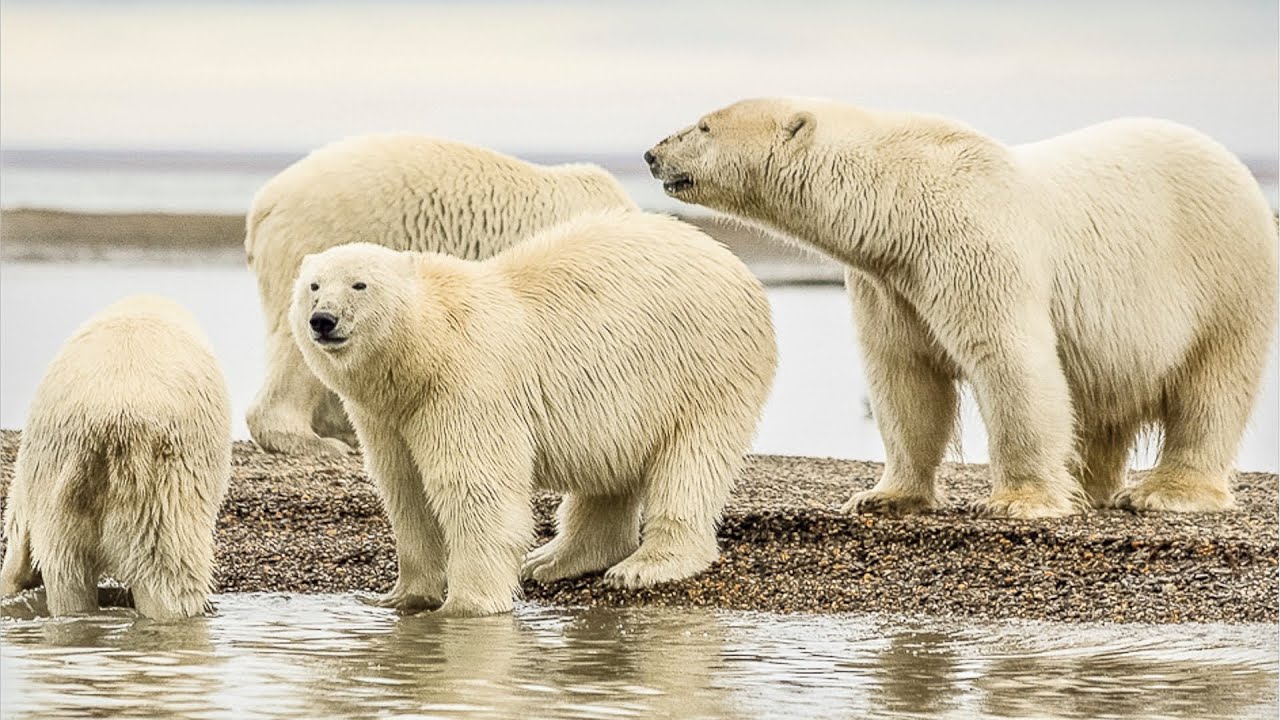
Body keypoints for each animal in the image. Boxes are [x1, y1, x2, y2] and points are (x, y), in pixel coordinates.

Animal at [289, 210, 777, 616]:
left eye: (359, 284)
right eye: (314, 286)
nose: (323, 320)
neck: (426, 349)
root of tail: (731, 260)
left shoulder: (466, 387)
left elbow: (476, 489)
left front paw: (467, 605)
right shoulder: (387, 415)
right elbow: (404, 490)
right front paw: (403, 596)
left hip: (702, 368)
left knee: (690, 462)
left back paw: (644, 566)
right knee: (609, 473)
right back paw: (553, 559)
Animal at [645, 98, 1278, 518]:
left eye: (703, 125)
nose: (651, 154)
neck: (899, 201)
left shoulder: (972, 246)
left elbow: (1010, 360)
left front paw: (1019, 501)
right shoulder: (889, 282)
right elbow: (904, 377)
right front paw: (882, 495)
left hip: (1225, 275)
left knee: (1212, 385)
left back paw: (1167, 491)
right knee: (1101, 401)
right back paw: (1087, 483)